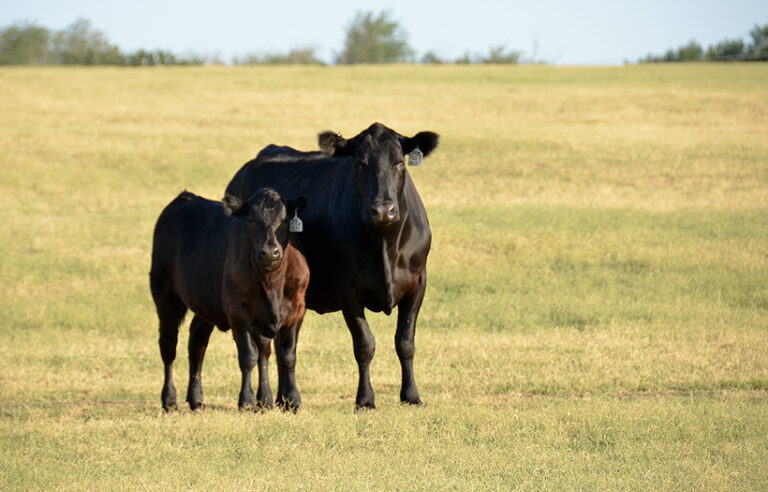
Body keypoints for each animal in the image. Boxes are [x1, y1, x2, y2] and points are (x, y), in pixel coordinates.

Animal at [149, 188, 309, 411]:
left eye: (285, 220)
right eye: (251, 220)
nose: (270, 252)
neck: (273, 283)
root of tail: (184, 197)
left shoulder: (297, 309)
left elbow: (286, 355)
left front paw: (291, 400)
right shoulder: (238, 312)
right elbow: (249, 355)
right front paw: (247, 401)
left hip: (205, 302)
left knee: (197, 342)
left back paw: (197, 399)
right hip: (164, 294)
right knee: (168, 345)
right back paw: (169, 400)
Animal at [225, 122, 439, 409]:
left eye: (399, 163)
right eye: (359, 163)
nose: (382, 210)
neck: (385, 245)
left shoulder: (418, 283)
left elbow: (405, 341)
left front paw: (411, 395)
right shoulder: (347, 287)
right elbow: (364, 344)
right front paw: (365, 399)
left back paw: (282, 399)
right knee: (264, 347)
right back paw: (267, 399)